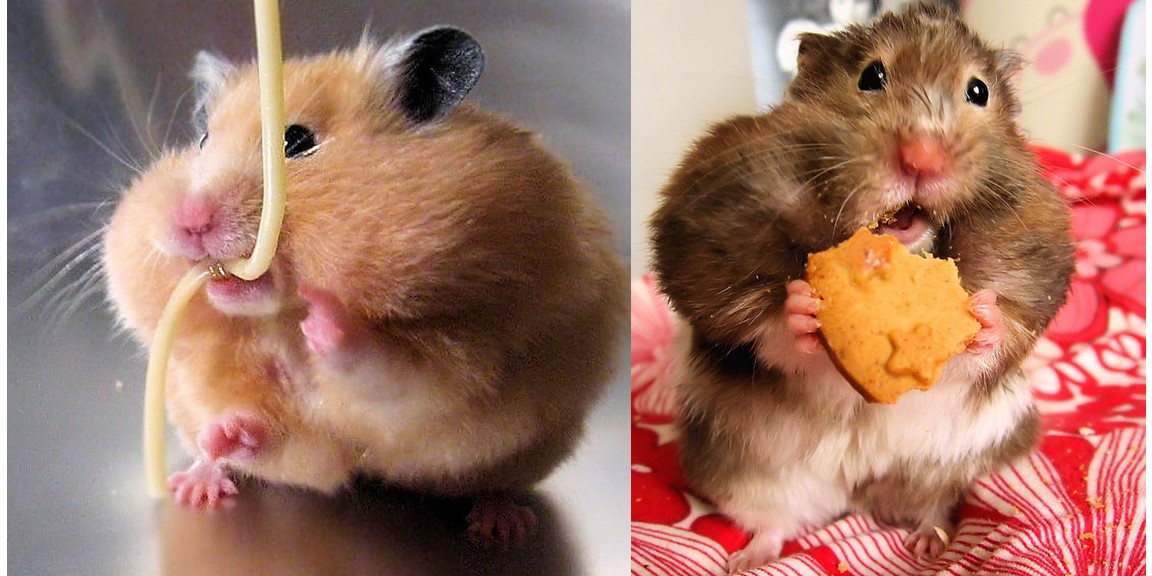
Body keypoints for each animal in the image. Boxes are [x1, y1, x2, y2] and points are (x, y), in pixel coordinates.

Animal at [102, 27, 626, 544]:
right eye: (204, 139)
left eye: (296, 141)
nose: (189, 221)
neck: (279, 324)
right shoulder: (250, 403)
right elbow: (266, 433)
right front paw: (226, 435)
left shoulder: (464, 358)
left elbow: (390, 372)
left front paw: (326, 318)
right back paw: (195, 484)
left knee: (495, 482)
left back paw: (501, 526)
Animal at [649, 4, 1074, 571]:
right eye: (871, 77)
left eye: (978, 91)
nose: (922, 157)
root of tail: (855, 492)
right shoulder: (708, 250)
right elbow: (767, 333)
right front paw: (802, 308)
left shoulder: (1035, 275)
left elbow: (997, 336)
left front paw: (982, 314)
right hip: (740, 472)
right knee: (773, 522)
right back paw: (746, 561)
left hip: (953, 464)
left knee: (932, 504)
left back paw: (930, 544)